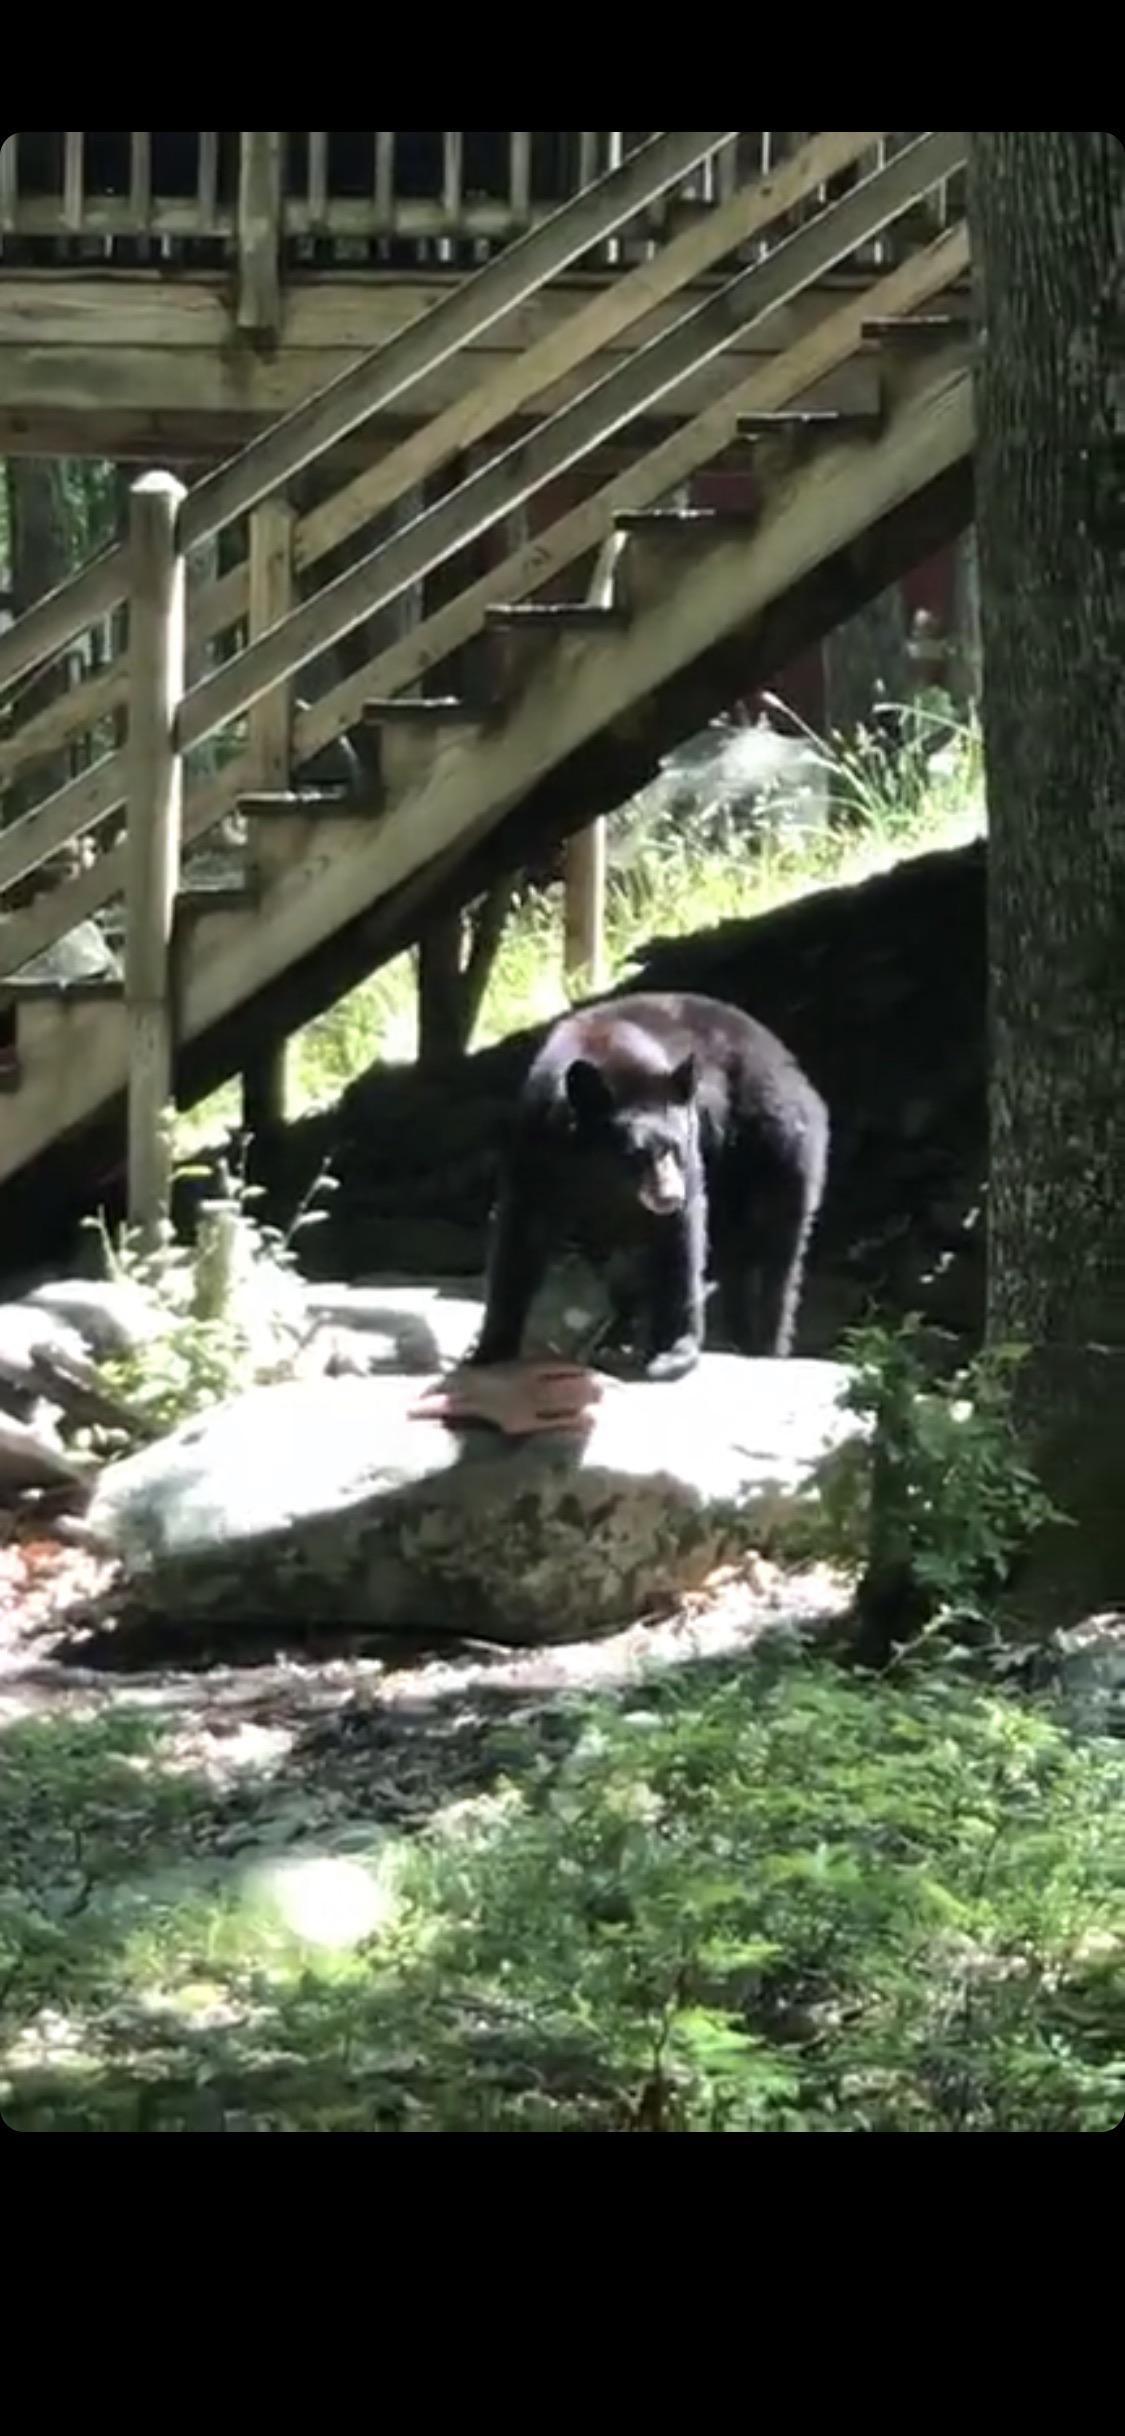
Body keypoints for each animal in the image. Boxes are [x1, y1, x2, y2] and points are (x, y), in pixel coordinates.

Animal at [469, 990, 829, 1381]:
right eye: (636, 1153)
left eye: (675, 1146)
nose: (669, 1196)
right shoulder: (536, 1146)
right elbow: (521, 1234)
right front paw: (489, 1349)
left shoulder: (692, 1157)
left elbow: (680, 1244)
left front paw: (674, 1352)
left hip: (772, 1146)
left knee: (773, 1260)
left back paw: (766, 1346)